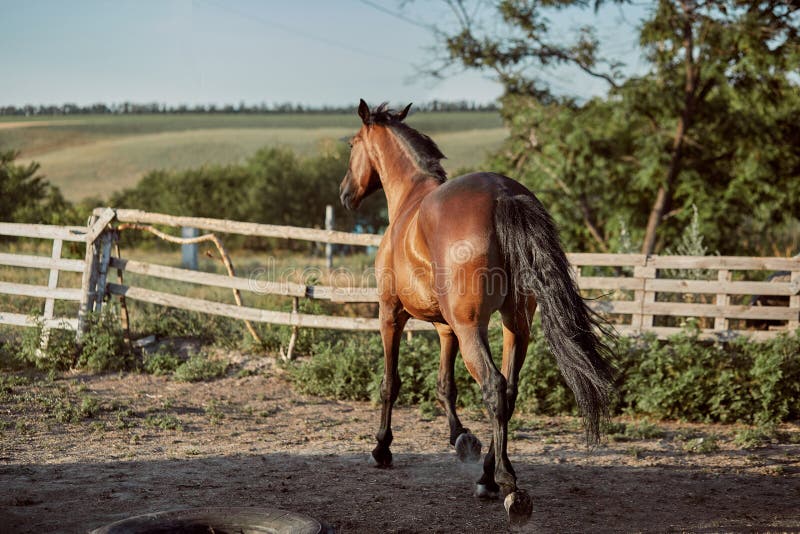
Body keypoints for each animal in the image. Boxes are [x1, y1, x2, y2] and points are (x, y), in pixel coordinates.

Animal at [339, 100, 615, 526]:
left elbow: (390, 383)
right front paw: (460, 437)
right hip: (515, 326)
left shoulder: (391, 315)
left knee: (494, 387)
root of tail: (503, 195)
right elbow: (445, 384)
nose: (345, 194)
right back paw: (490, 475)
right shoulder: (446, 328)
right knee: (509, 392)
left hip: (474, 328)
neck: (410, 200)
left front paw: (381, 448)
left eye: (352, 144)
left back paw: (506, 486)